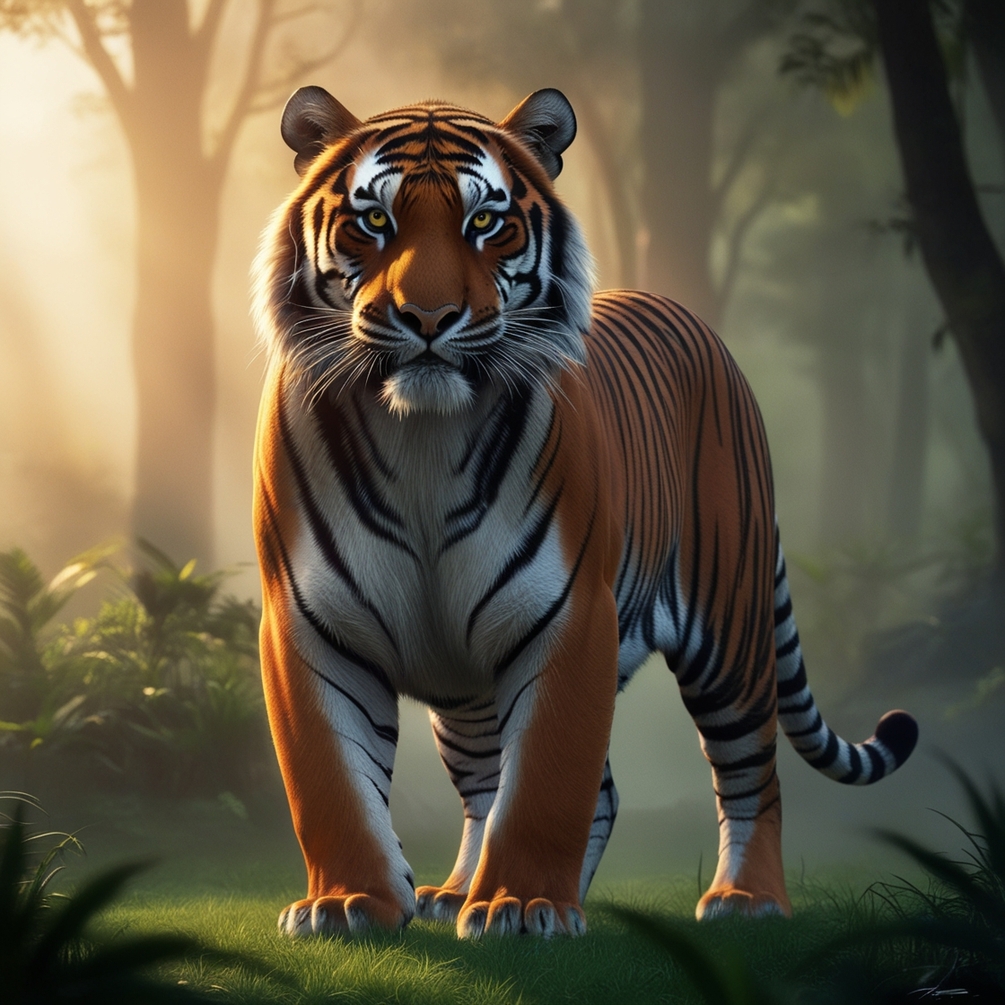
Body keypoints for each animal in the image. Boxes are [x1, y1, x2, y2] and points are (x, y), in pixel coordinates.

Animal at [251, 85, 918, 940]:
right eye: (373, 221)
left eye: (485, 222)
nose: (427, 318)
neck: (422, 438)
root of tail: (696, 321)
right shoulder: (309, 622)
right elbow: (331, 781)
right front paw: (350, 902)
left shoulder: (568, 615)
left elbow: (547, 780)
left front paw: (523, 904)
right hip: (465, 681)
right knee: (501, 783)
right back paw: (457, 890)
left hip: (728, 634)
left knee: (749, 774)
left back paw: (746, 898)